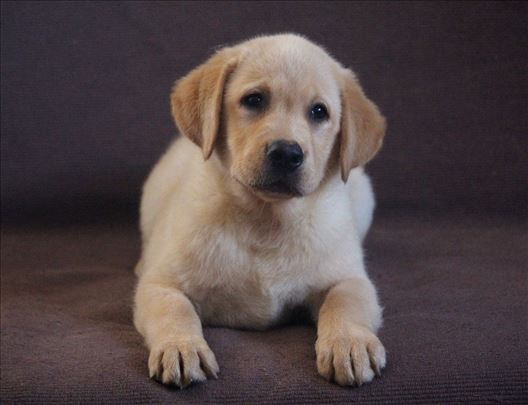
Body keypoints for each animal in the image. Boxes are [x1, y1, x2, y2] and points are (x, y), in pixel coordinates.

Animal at [134, 33, 386, 386]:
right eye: (254, 100)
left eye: (319, 111)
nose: (286, 153)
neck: (267, 221)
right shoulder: (162, 283)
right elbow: (175, 310)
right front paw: (181, 347)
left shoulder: (349, 278)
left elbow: (344, 302)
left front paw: (350, 342)